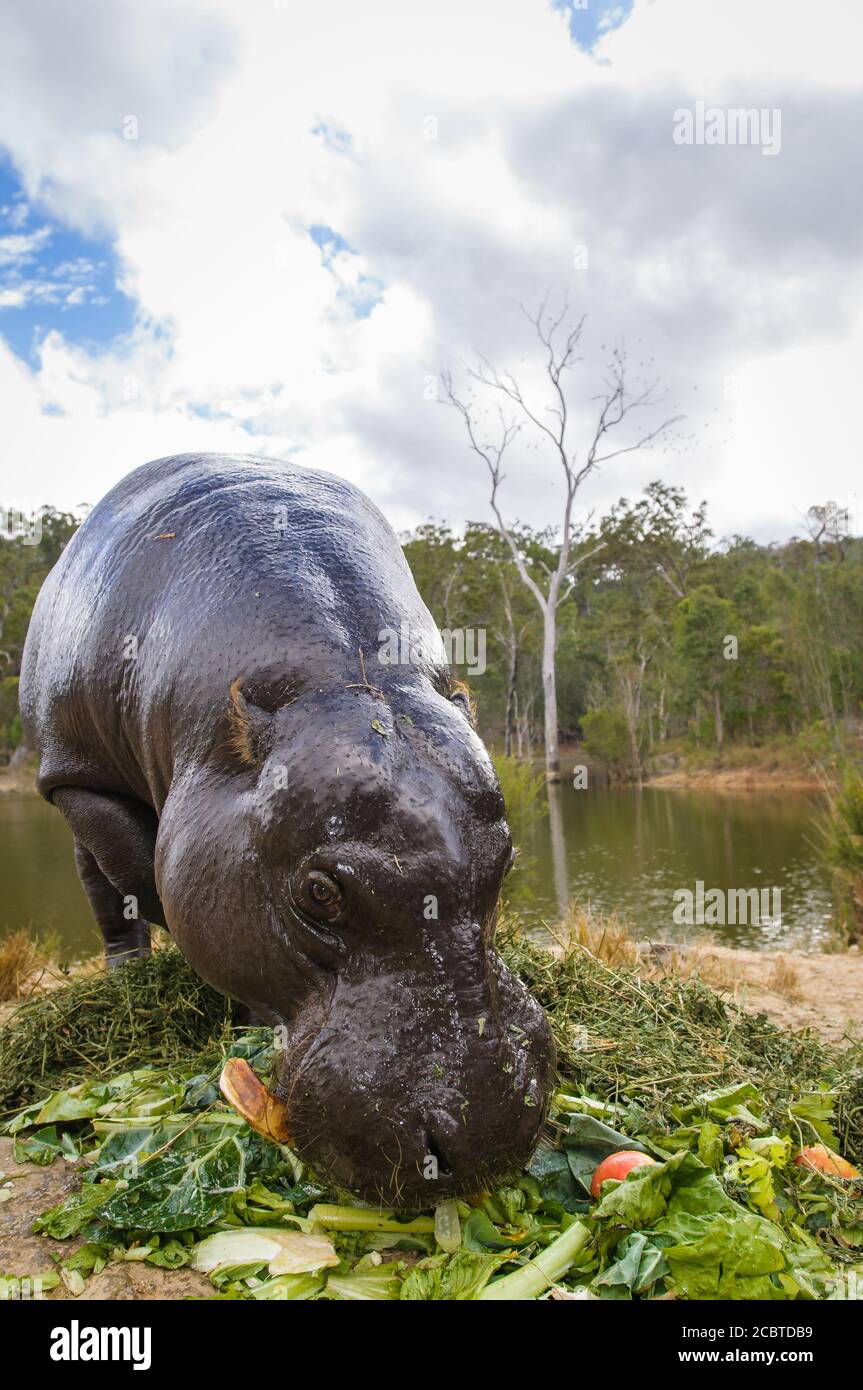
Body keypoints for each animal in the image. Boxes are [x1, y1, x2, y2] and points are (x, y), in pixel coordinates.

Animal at [20, 453, 555, 1205]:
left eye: (506, 862)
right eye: (319, 893)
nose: (482, 1132)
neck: (341, 675)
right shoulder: (83, 781)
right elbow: (139, 878)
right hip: (68, 776)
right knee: (102, 883)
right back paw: (129, 971)